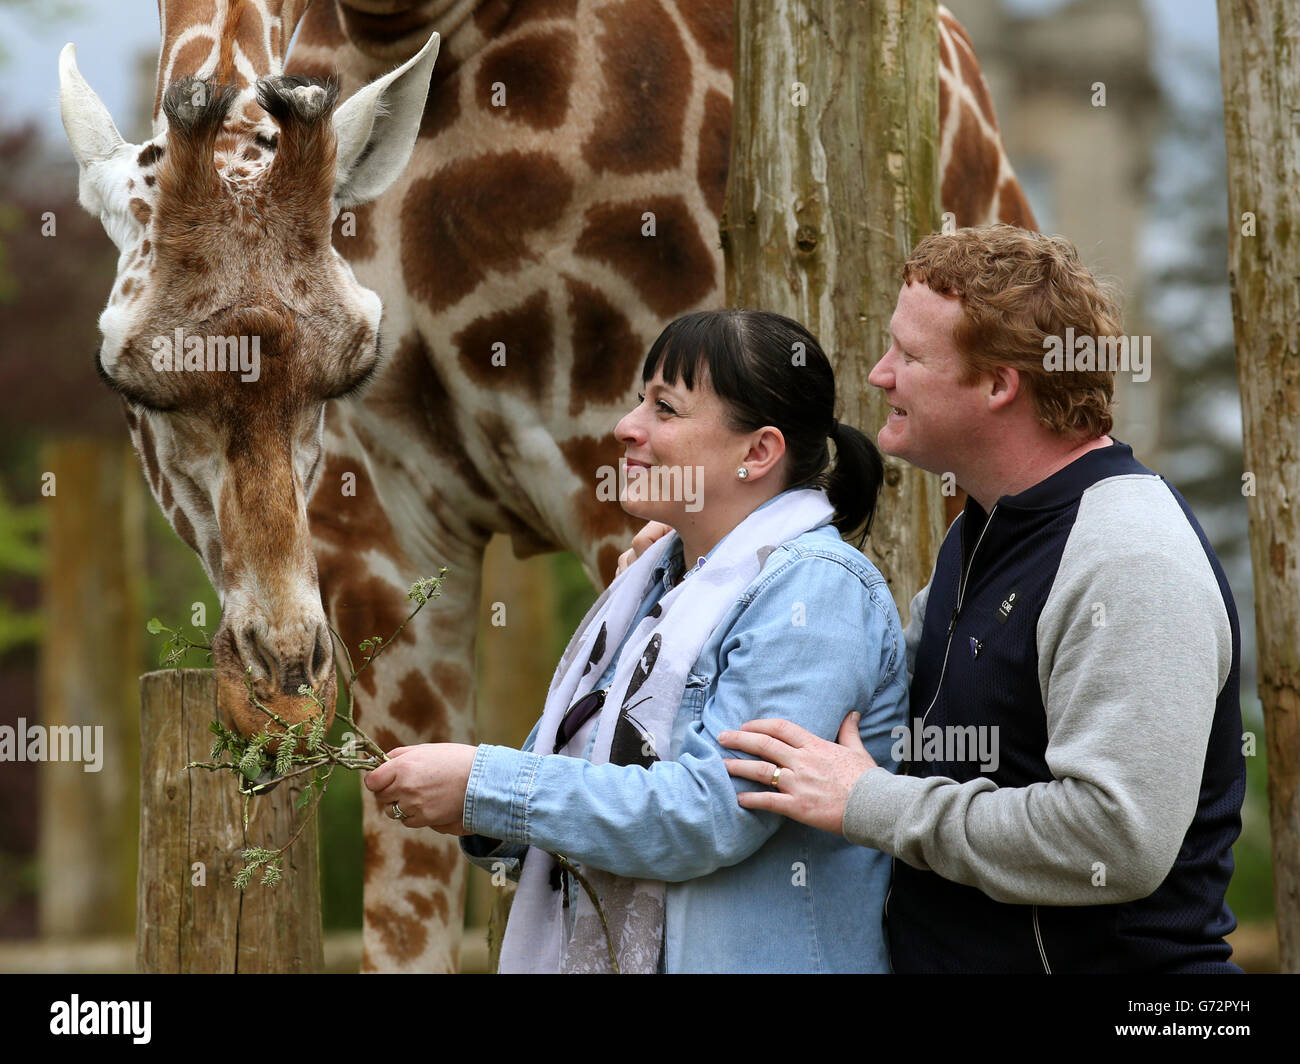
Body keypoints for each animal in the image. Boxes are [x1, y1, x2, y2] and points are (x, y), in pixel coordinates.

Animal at [59, 0, 1036, 972]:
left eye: (349, 365)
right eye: (128, 379)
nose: (278, 695)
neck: (397, 18)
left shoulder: (616, 473)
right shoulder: (377, 532)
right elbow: (406, 916)